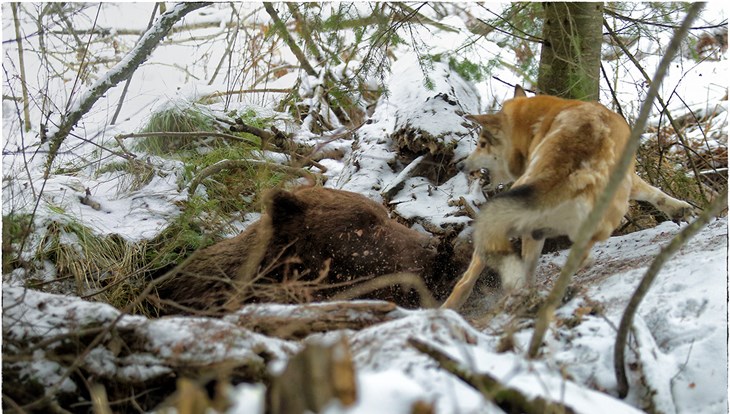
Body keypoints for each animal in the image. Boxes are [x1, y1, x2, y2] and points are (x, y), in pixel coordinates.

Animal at [440, 85, 692, 310]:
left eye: (482, 144)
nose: (460, 165)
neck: (538, 122)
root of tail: (571, 165)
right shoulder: (628, 178)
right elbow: (651, 191)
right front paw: (678, 208)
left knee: (489, 272)